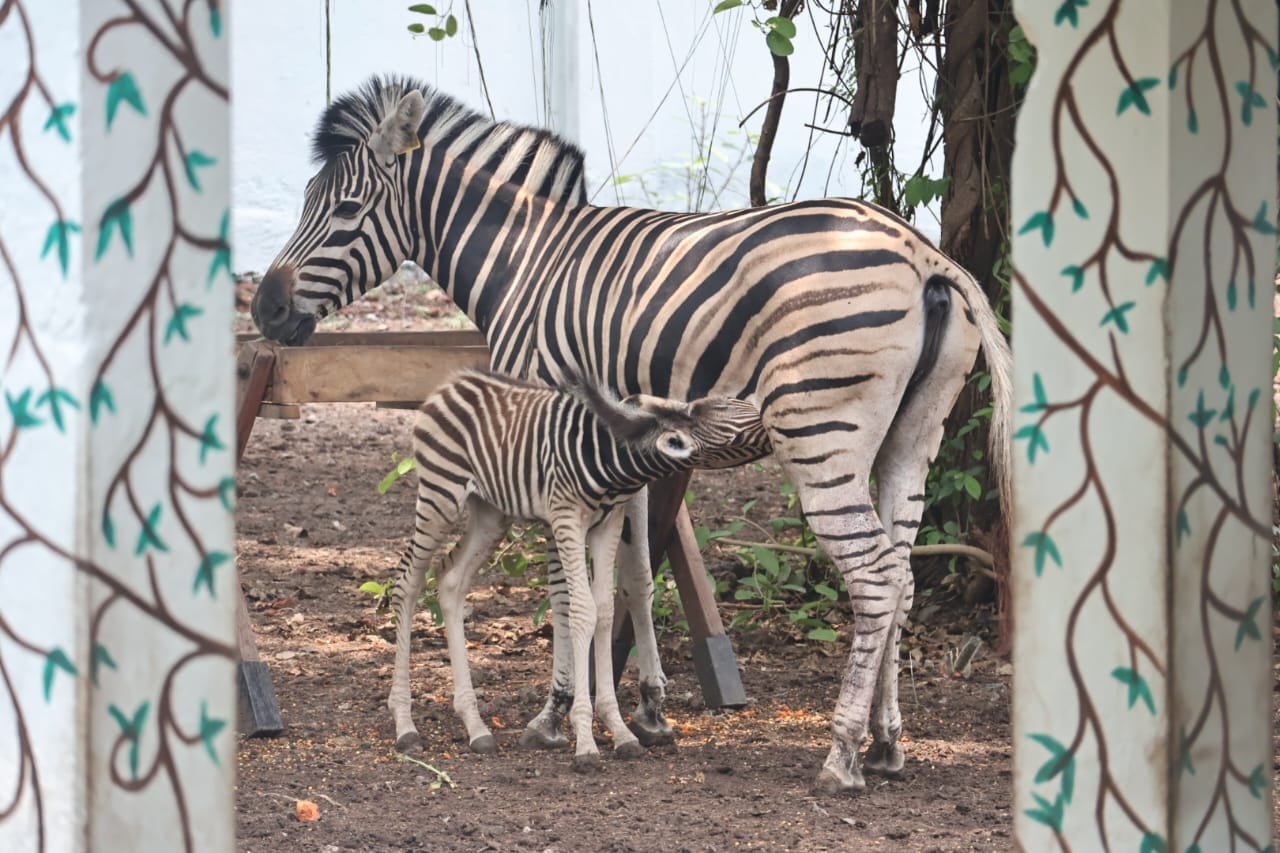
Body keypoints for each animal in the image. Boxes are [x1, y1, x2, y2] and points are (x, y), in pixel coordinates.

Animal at [388, 368, 767, 769]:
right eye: (728, 417)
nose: (766, 404)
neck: (614, 456)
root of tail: (454, 381)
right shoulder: (567, 517)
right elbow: (583, 611)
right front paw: (585, 741)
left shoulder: (608, 524)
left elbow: (604, 611)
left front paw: (619, 731)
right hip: (440, 495)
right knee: (407, 581)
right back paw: (405, 724)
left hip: (490, 513)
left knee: (450, 580)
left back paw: (475, 726)